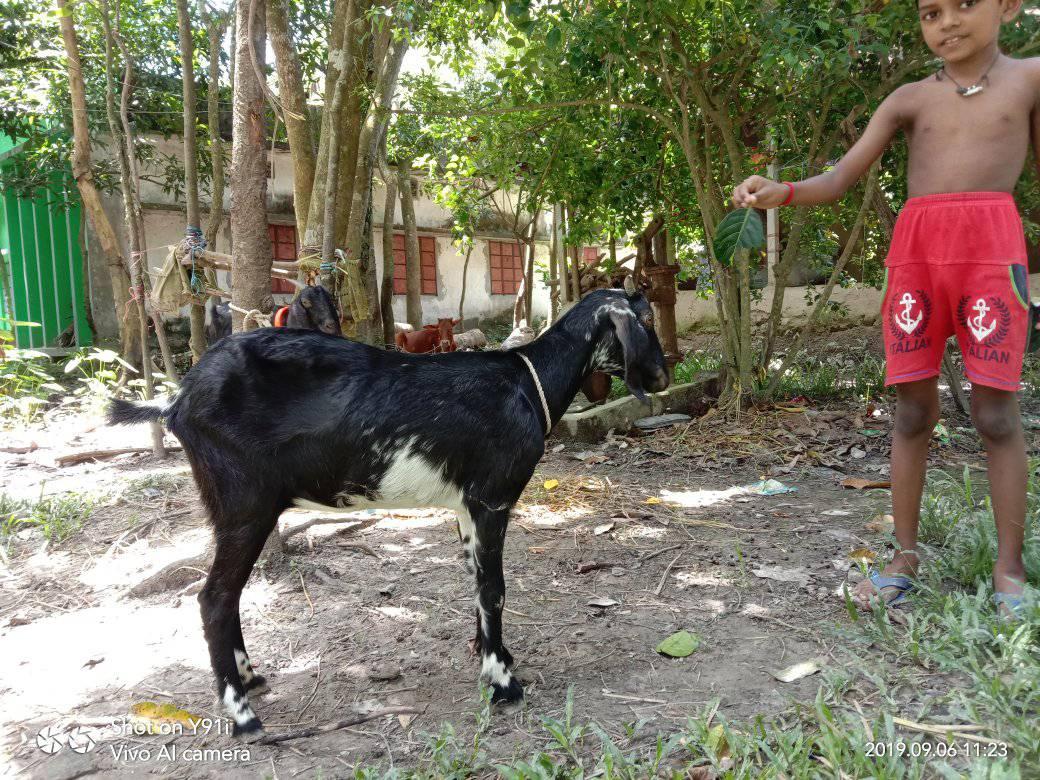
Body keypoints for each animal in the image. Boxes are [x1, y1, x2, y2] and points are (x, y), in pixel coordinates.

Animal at [107, 283, 669, 739]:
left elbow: (477, 585)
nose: (663, 376)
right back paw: (243, 715)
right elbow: (496, 589)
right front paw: (503, 683)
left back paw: (251, 677)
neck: (526, 384)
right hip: (243, 503)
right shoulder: (492, 498)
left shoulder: (464, 507)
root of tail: (176, 402)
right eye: (646, 320)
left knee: (227, 595)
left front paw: (490, 656)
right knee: (214, 598)